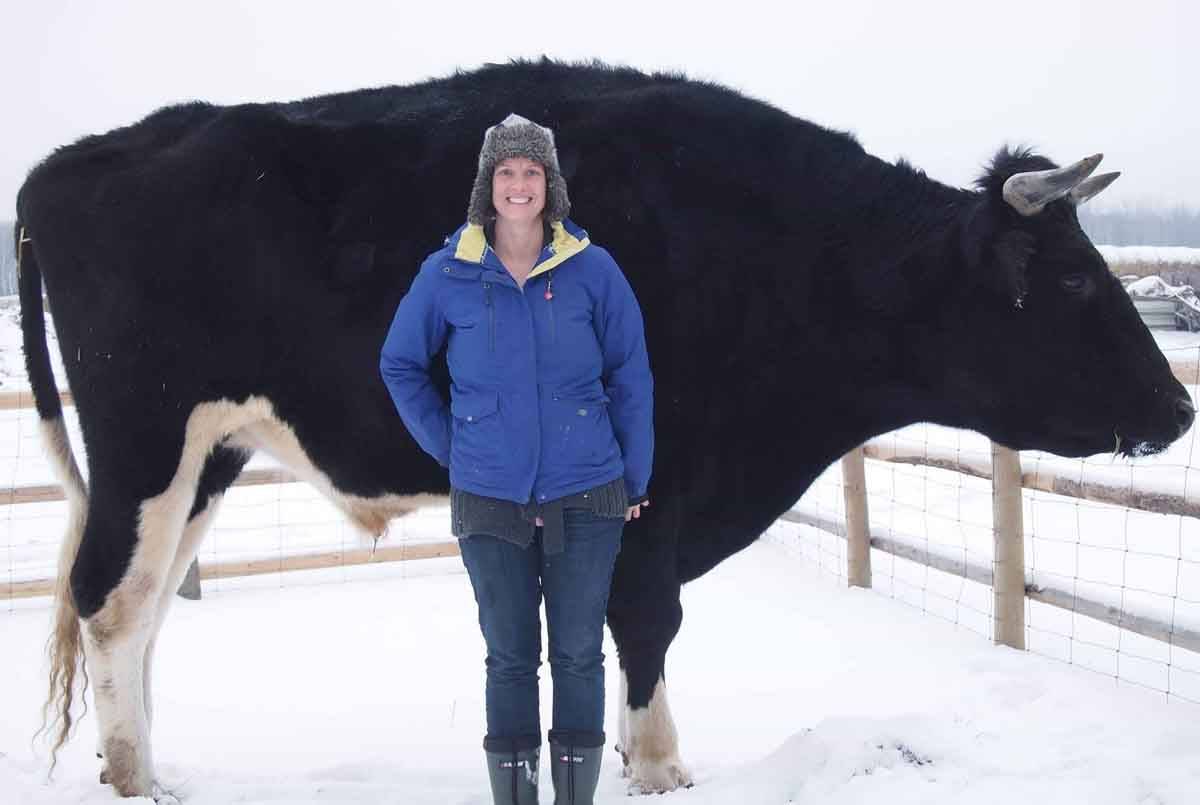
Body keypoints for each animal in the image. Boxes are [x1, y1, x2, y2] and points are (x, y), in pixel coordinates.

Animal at [15, 59, 1192, 799]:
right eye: (1077, 282)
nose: (1179, 406)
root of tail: (83, 158)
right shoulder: (657, 485)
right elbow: (646, 620)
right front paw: (664, 769)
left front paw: (630, 757)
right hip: (147, 436)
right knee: (110, 601)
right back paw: (136, 777)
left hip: (205, 456)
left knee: (143, 608)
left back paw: (147, 764)